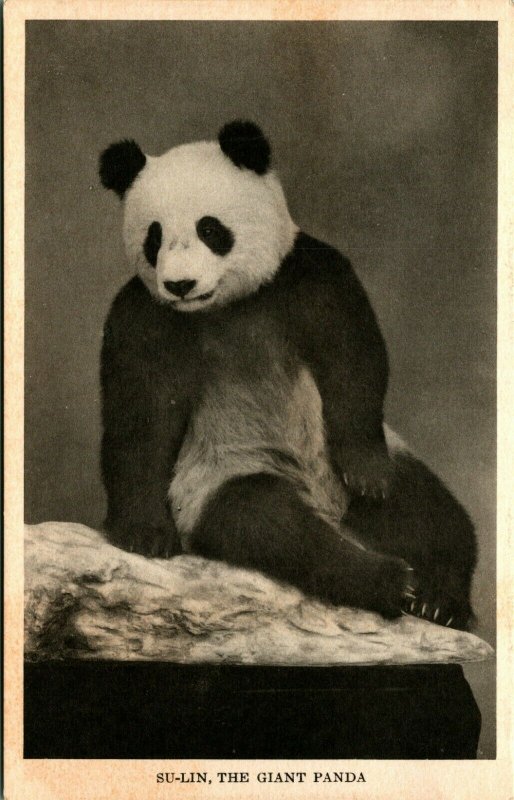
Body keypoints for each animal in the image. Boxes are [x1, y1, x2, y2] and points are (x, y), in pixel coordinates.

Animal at [99, 120, 476, 629]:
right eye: (153, 238)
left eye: (210, 229)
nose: (180, 285)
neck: (228, 304)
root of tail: (328, 507)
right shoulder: (144, 319)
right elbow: (139, 420)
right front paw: (145, 534)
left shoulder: (303, 275)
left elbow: (353, 356)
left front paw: (367, 474)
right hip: (220, 473)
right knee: (270, 526)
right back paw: (385, 580)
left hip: (366, 455)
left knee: (426, 512)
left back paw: (440, 597)